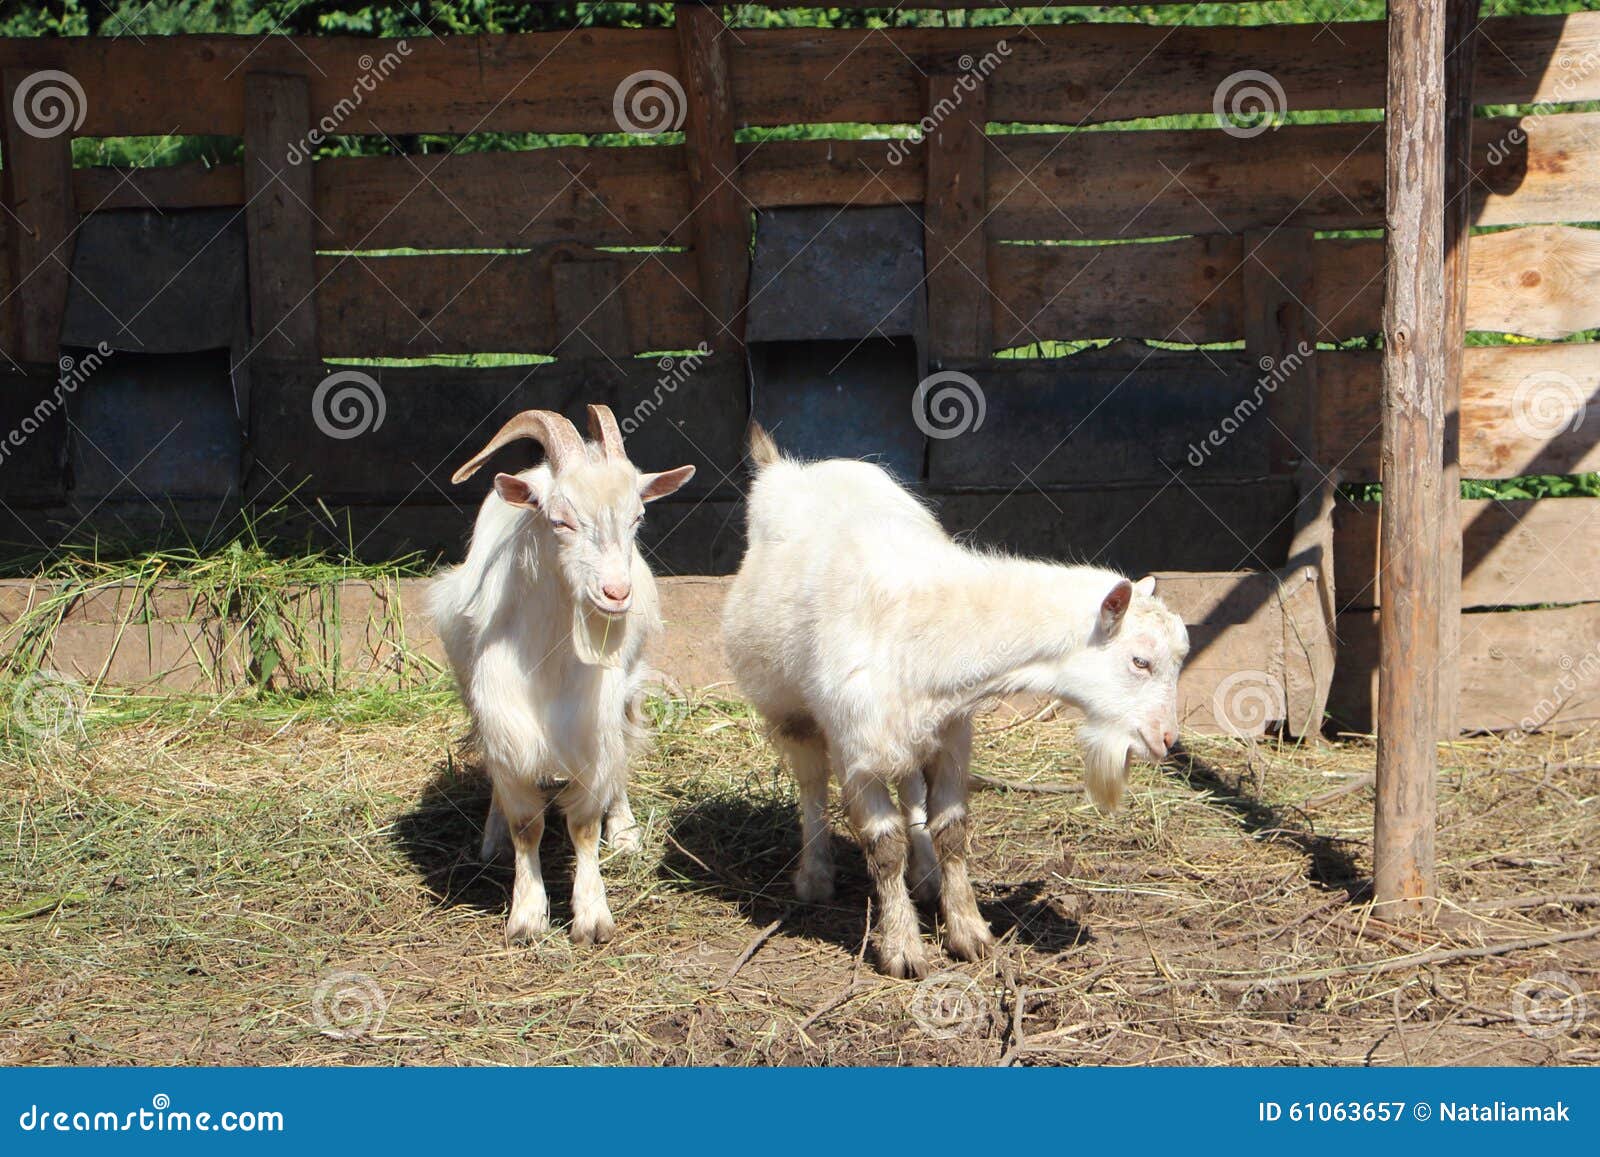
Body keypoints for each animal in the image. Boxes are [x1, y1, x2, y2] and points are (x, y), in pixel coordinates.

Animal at [431, 405, 694, 944]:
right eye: (560, 520)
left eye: (638, 516)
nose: (617, 593)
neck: (548, 665)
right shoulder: (505, 720)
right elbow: (525, 824)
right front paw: (527, 917)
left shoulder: (591, 728)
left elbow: (584, 825)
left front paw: (592, 917)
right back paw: (490, 839)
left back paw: (625, 829)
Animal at [721, 425, 1189, 977]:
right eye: (1140, 661)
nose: (1167, 738)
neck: (924, 625)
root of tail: (784, 469)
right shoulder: (857, 746)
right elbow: (883, 846)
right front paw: (903, 949)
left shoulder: (951, 734)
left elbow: (951, 830)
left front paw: (970, 932)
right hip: (790, 708)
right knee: (812, 784)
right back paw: (815, 876)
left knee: (909, 788)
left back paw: (924, 876)